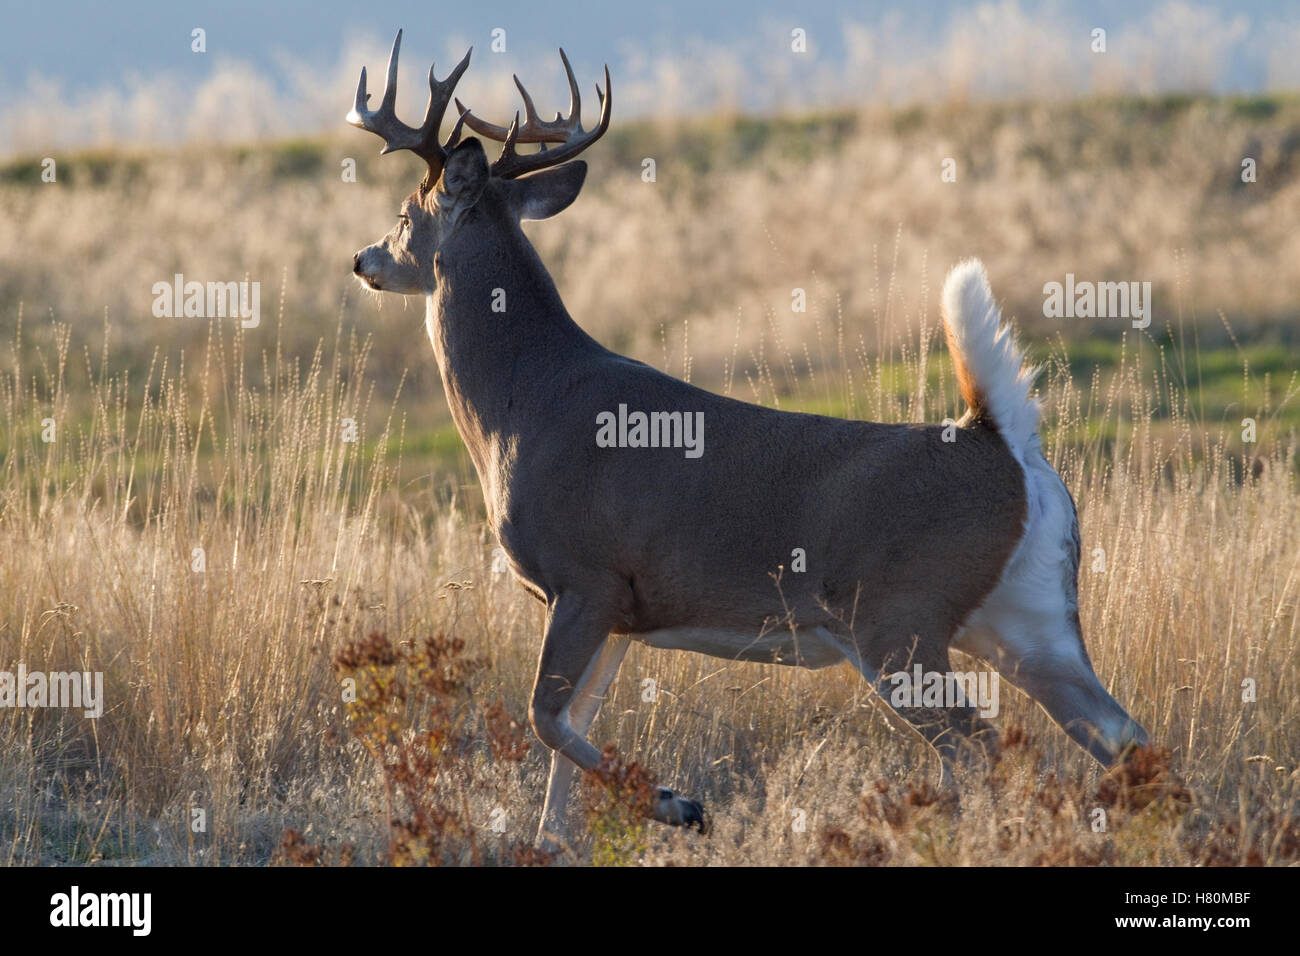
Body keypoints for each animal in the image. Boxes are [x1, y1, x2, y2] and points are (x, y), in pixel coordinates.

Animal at [346, 30, 1150, 852]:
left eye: (407, 212)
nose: (364, 259)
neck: (523, 405)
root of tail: (1001, 442)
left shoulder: (586, 577)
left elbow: (545, 718)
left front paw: (679, 803)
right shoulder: (623, 611)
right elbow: (567, 734)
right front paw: (556, 841)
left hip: (899, 619)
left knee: (984, 746)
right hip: (1030, 619)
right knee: (1120, 734)